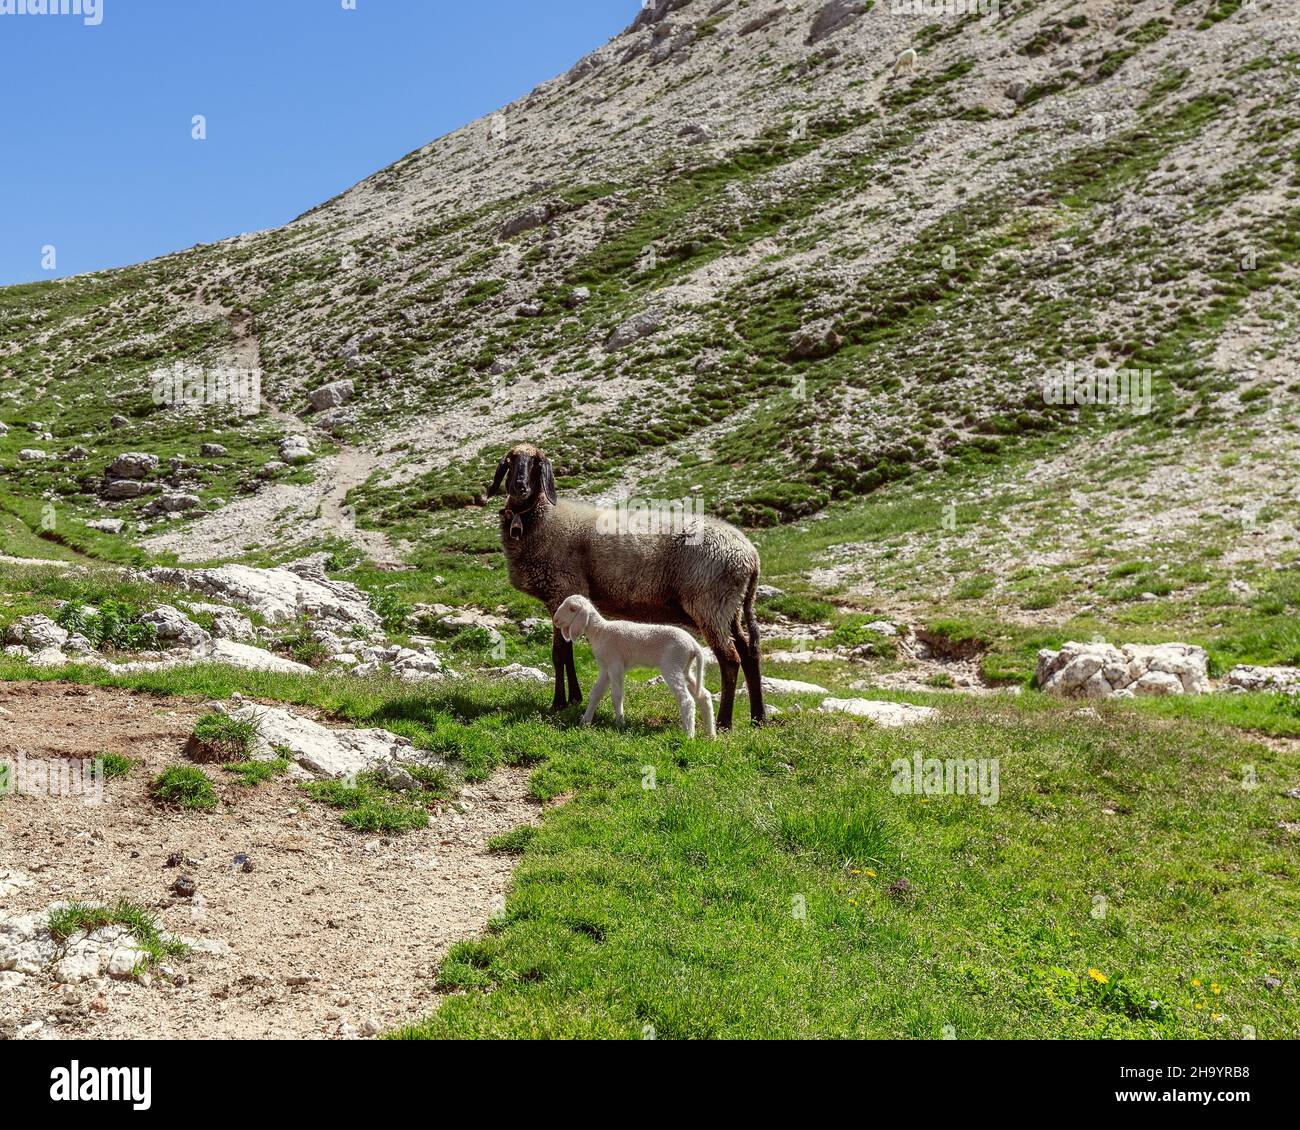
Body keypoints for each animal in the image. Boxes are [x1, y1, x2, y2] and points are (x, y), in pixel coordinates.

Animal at [553, 595, 716, 739]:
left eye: (572, 609)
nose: (555, 620)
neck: (599, 631)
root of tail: (694, 645)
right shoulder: (605, 668)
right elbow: (595, 694)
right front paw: (585, 722)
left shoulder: (615, 665)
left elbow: (617, 696)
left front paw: (620, 723)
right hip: (685, 667)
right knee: (704, 695)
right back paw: (710, 734)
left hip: (672, 664)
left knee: (687, 699)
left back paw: (689, 735)